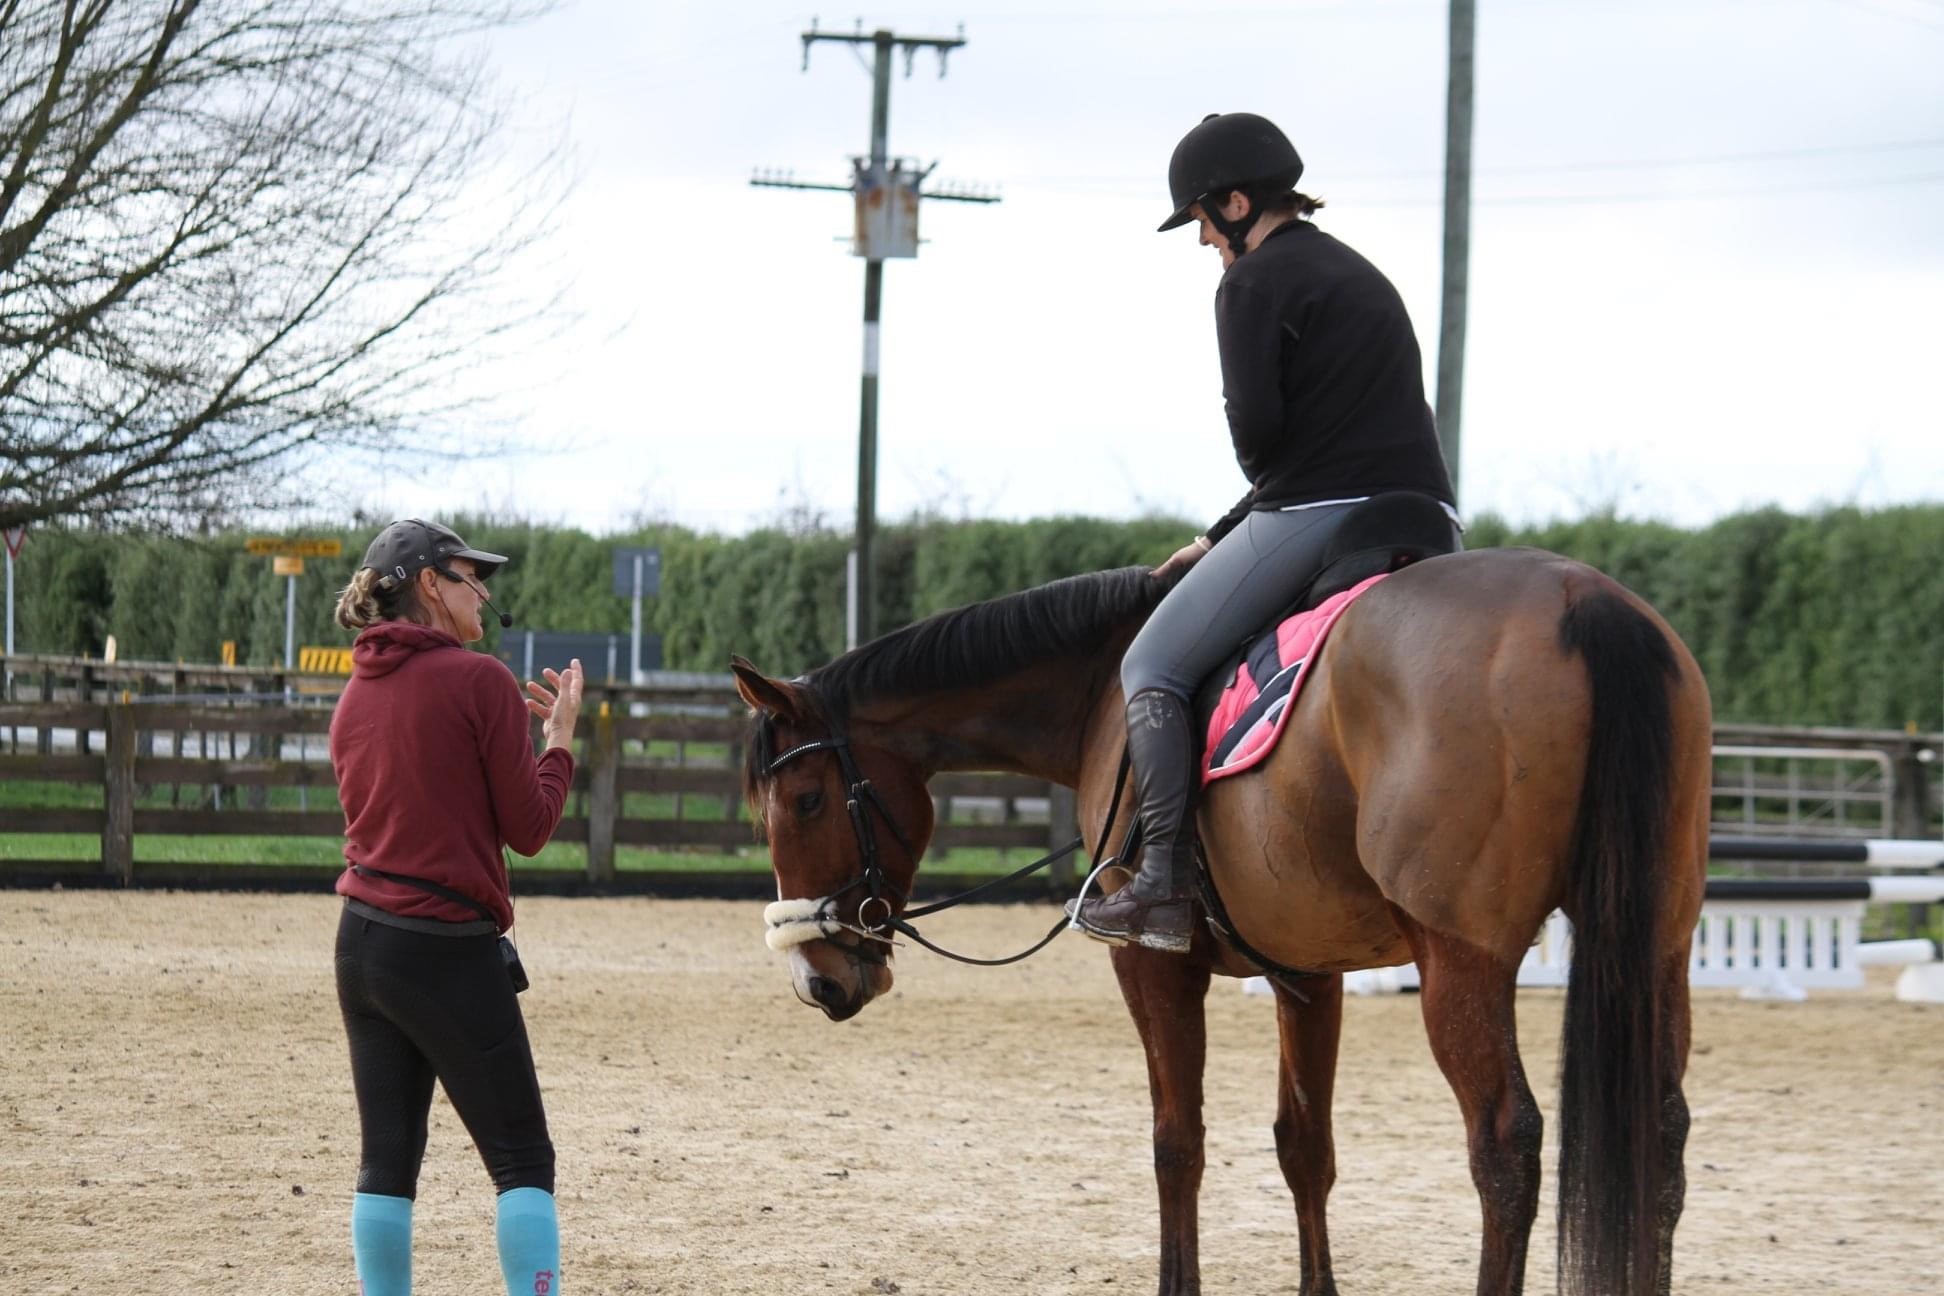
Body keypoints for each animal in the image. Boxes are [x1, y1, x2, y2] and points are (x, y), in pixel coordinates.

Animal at [732, 545, 1712, 1296]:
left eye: (807, 800)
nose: (820, 979)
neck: (1101, 688)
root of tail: (1581, 598)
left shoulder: (1153, 967)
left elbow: (1178, 1143)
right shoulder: (1311, 974)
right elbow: (1304, 1146)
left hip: (1462, 964)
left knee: (1505, 1147)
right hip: (1656, 950)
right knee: (1659, 1137)